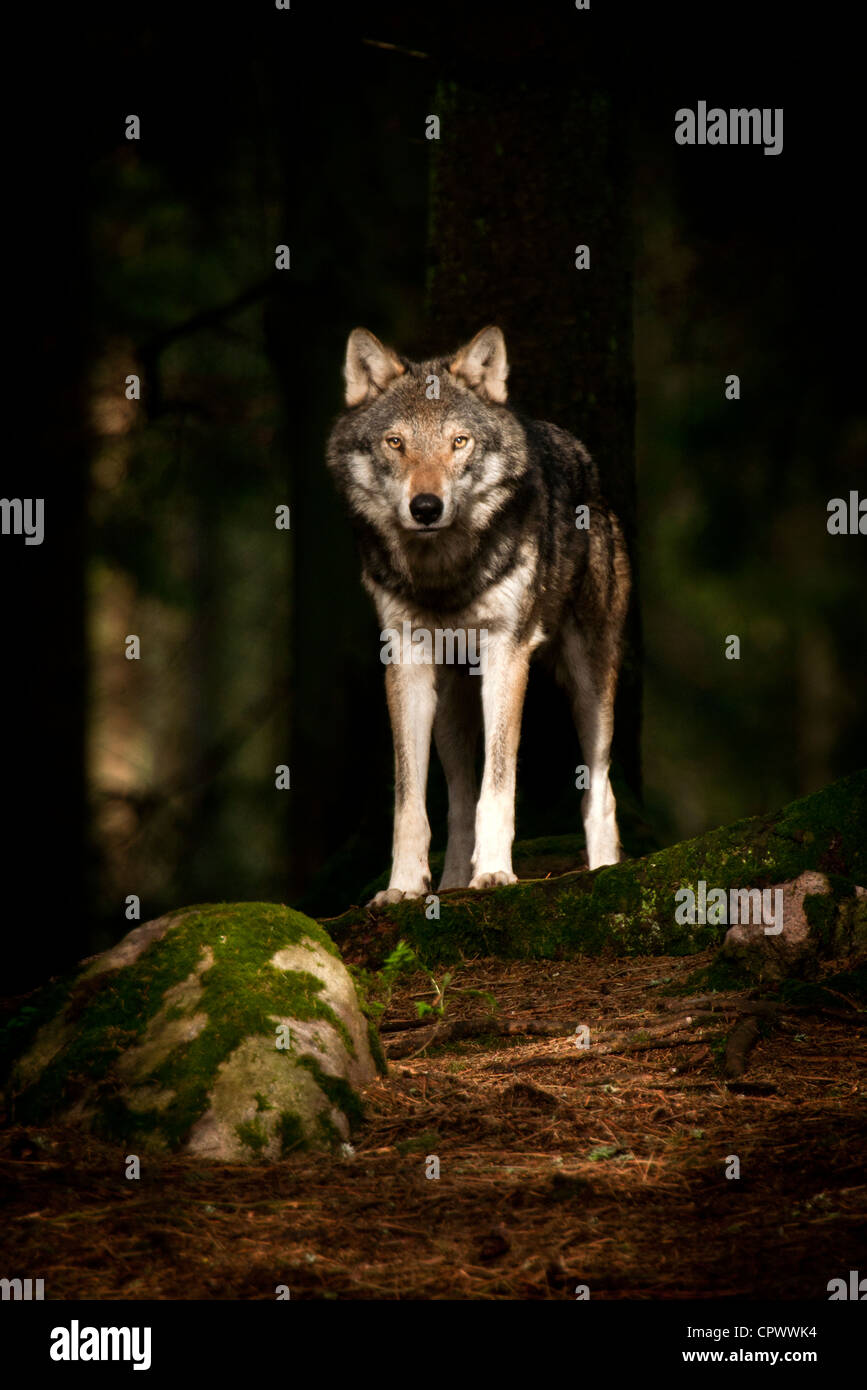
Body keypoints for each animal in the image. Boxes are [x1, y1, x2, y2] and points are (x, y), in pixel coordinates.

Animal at [326, 326, 631, 906]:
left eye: (459, 442)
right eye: (395, 443)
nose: (426, 507)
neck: (444, 575)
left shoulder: (506, 653)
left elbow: (499, 785)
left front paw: (494, 873)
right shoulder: (405, 661)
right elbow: (411, 803)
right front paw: (402, 887)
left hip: (591, 684)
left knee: (600, 789)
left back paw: (605, 871)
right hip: (451, 704)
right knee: (459, 802)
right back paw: (449, 885)